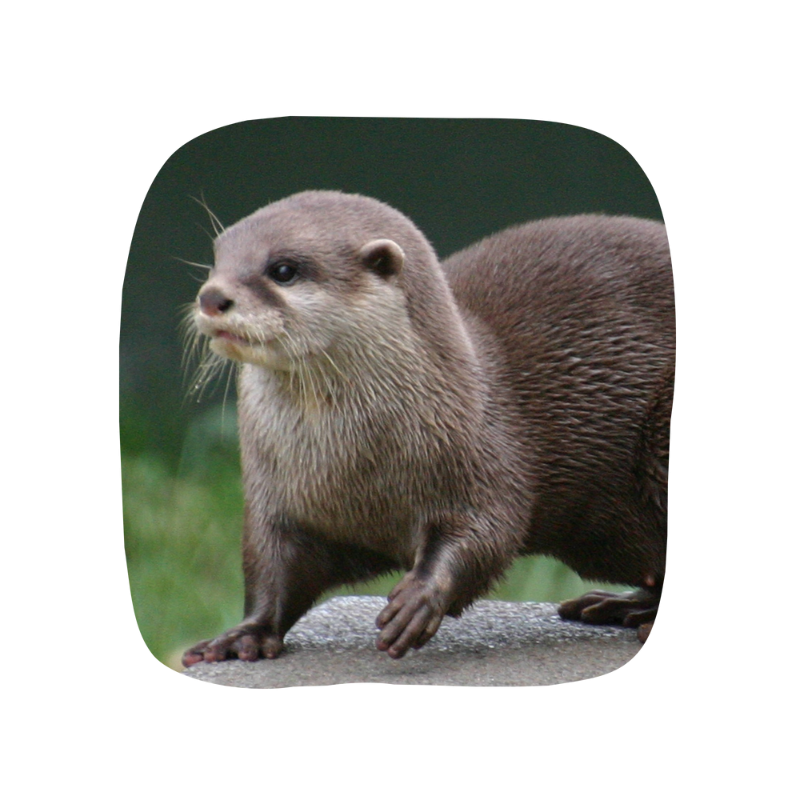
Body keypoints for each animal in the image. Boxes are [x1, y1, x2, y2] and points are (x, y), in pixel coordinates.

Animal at [181, 190, 675, 665]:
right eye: (217, 258)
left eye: (282, 269)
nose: (211, 296)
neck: (352, 472)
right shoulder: (276, 499)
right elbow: (273, 568)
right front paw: (245, 634)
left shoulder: (483, 455)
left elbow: (489, 532)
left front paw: (418, 601)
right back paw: (620, 605)